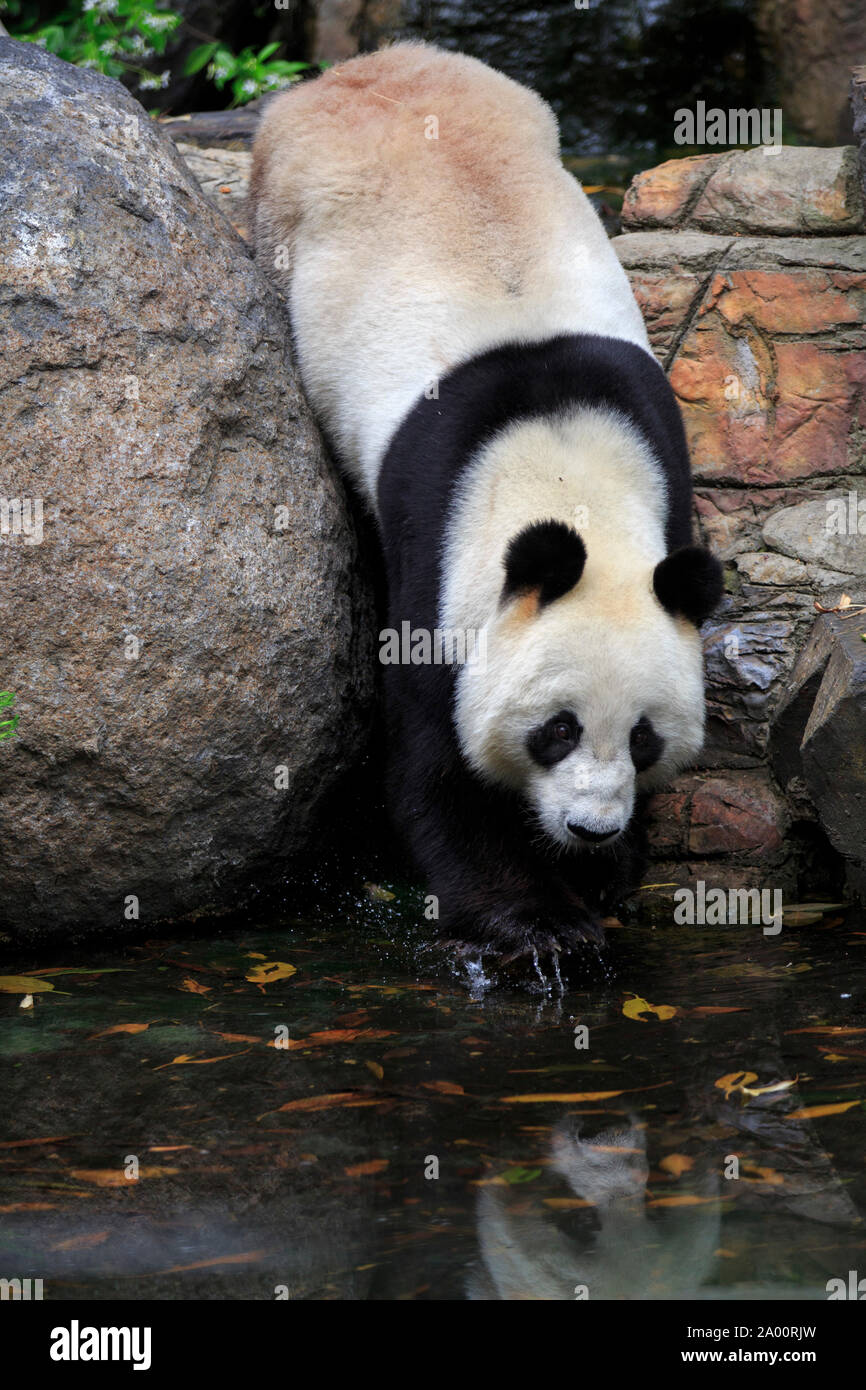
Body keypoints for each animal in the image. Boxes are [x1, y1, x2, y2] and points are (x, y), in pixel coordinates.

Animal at [250, 42, 723, 962]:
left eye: (645, 736)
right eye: (557, 729)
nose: (589, 828)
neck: (567, 464)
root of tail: (365, 65)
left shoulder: (664, 476)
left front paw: (601, 876)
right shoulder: (438, 540)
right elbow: (435, 770)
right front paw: (542, 923)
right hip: (282, 212)